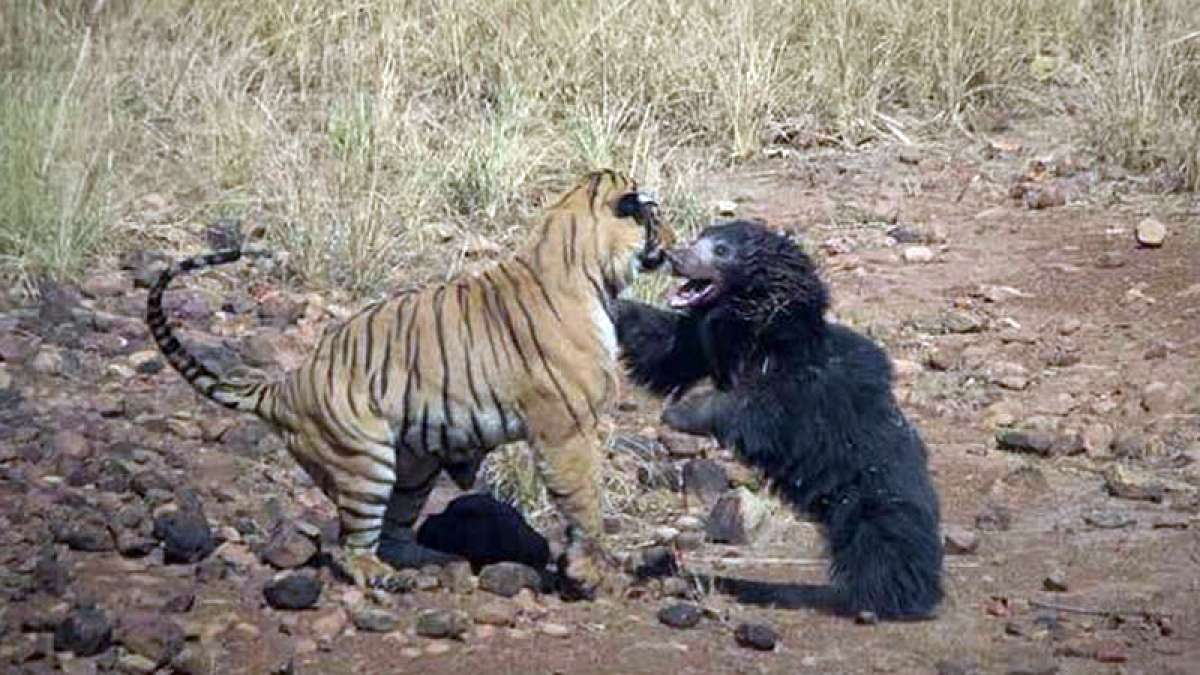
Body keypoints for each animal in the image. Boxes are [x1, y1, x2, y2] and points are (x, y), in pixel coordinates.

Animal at [145, 170, 674, 597]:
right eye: (657, 216)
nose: (674, 240)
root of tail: (285, 387)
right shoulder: (566, 430)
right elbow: (585, 502)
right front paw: (594, 574)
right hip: (365, 462)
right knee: (352, 547)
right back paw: (386, 576)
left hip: (414, 466)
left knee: (396, 535)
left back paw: (437, 561)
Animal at [616, 219, 943, 620]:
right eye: (699, 239)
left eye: (721, 250)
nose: (673, 256)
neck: (752, 330)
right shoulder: (703, 343)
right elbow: (664, 347)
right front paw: (610, 306)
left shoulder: (801, 389)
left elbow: (756, 410)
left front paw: (681, 410)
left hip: (873, 495)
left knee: (885, 548)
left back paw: (887, 601)